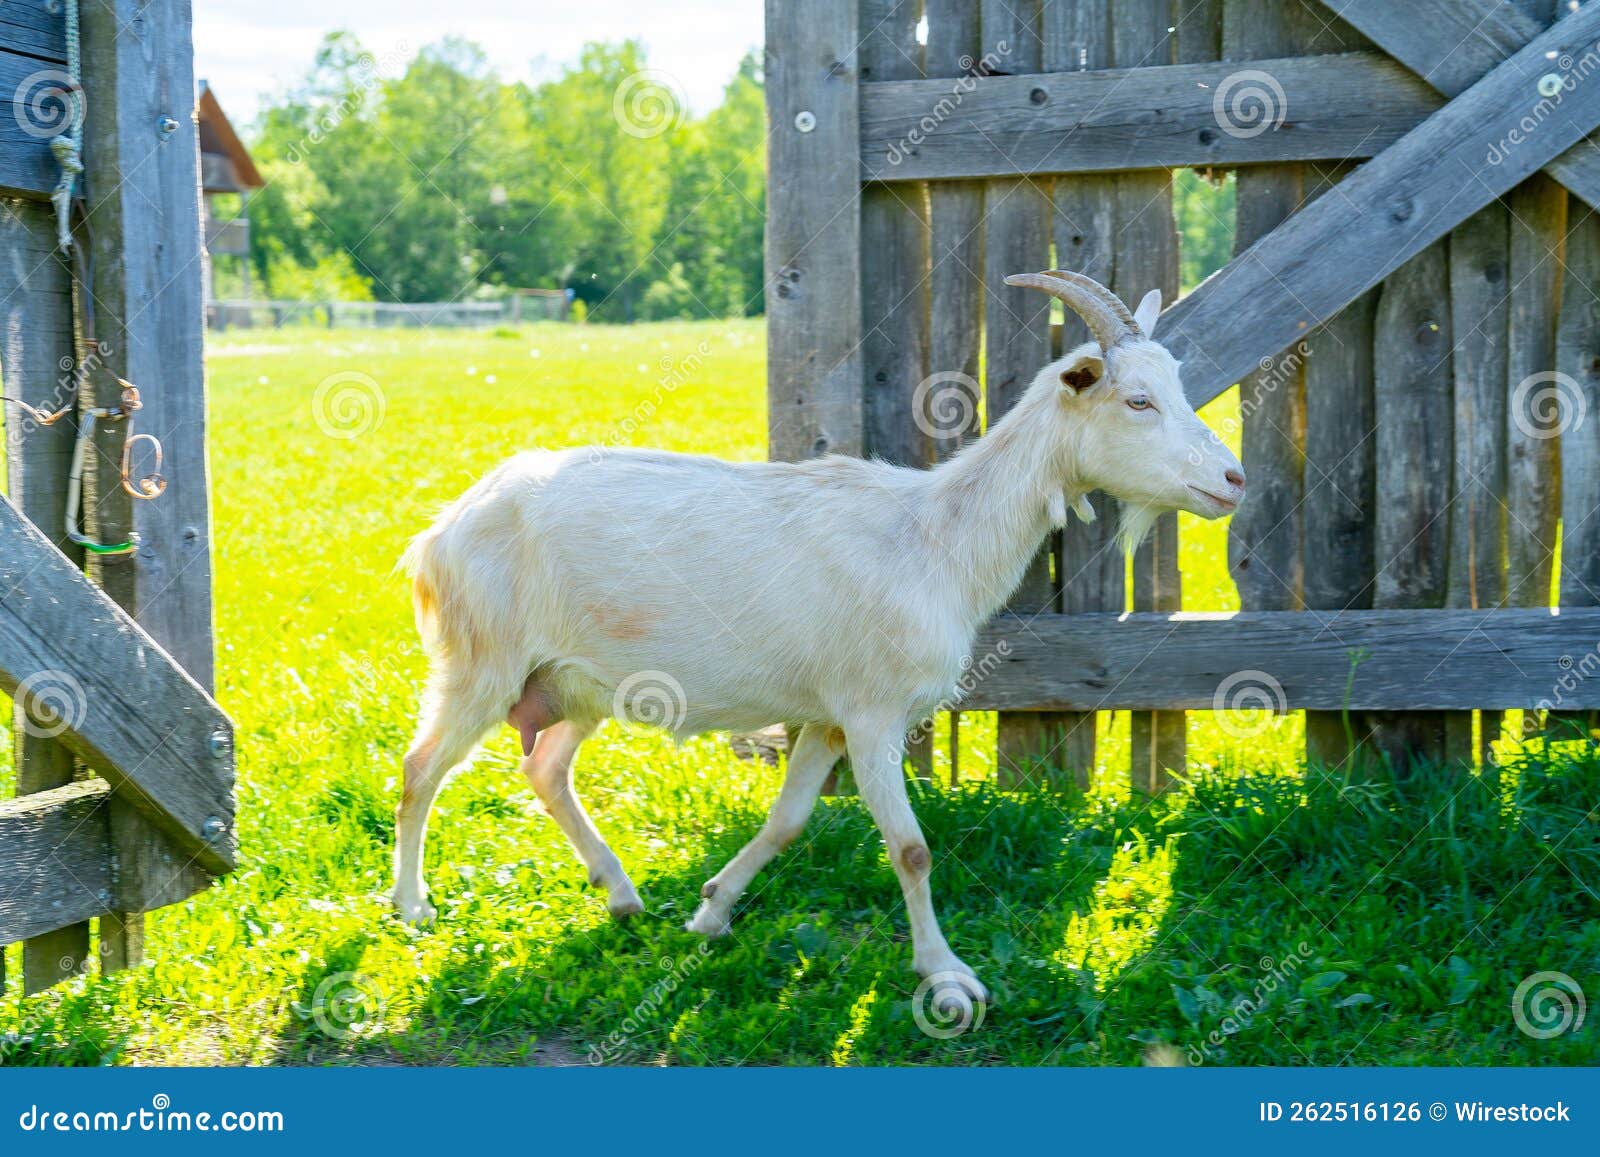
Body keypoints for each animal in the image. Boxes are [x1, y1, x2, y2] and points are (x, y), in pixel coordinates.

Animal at [391, 271, 1245, 1008]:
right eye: (1138, 400)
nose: (1233, 480)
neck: (934, 536)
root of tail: (439, 532)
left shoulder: (829, 716)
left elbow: (788, 820)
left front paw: (711, 910)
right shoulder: (872, 713)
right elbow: (911, 848)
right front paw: (946, 978)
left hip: (576, 682)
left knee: (545, 767)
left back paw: (624, 894)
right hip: (483, 661)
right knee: (420, 768)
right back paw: (411, 905)